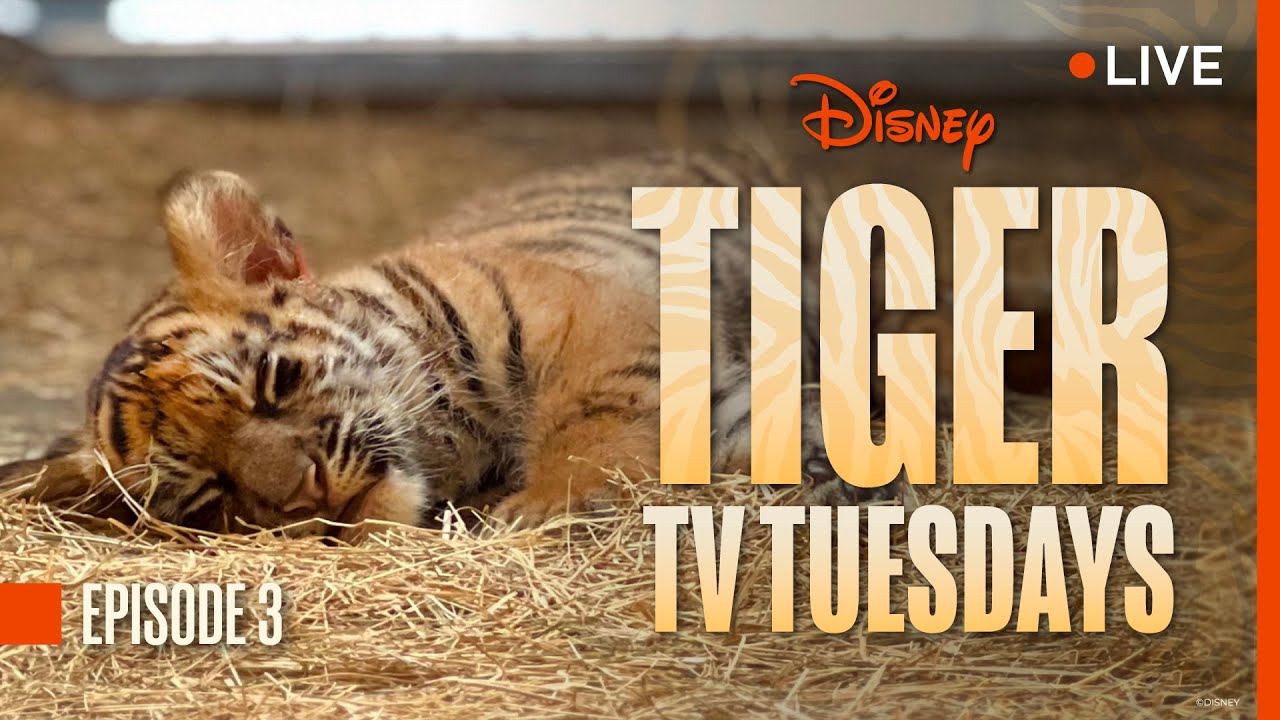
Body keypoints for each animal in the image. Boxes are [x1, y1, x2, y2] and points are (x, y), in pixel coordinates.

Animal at [0, 150, 941, 540]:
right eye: (207, 493)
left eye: (274, 381)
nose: (306, 496)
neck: (456, 447)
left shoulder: (601, 313)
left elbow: (598, 417)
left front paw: (543, 506)